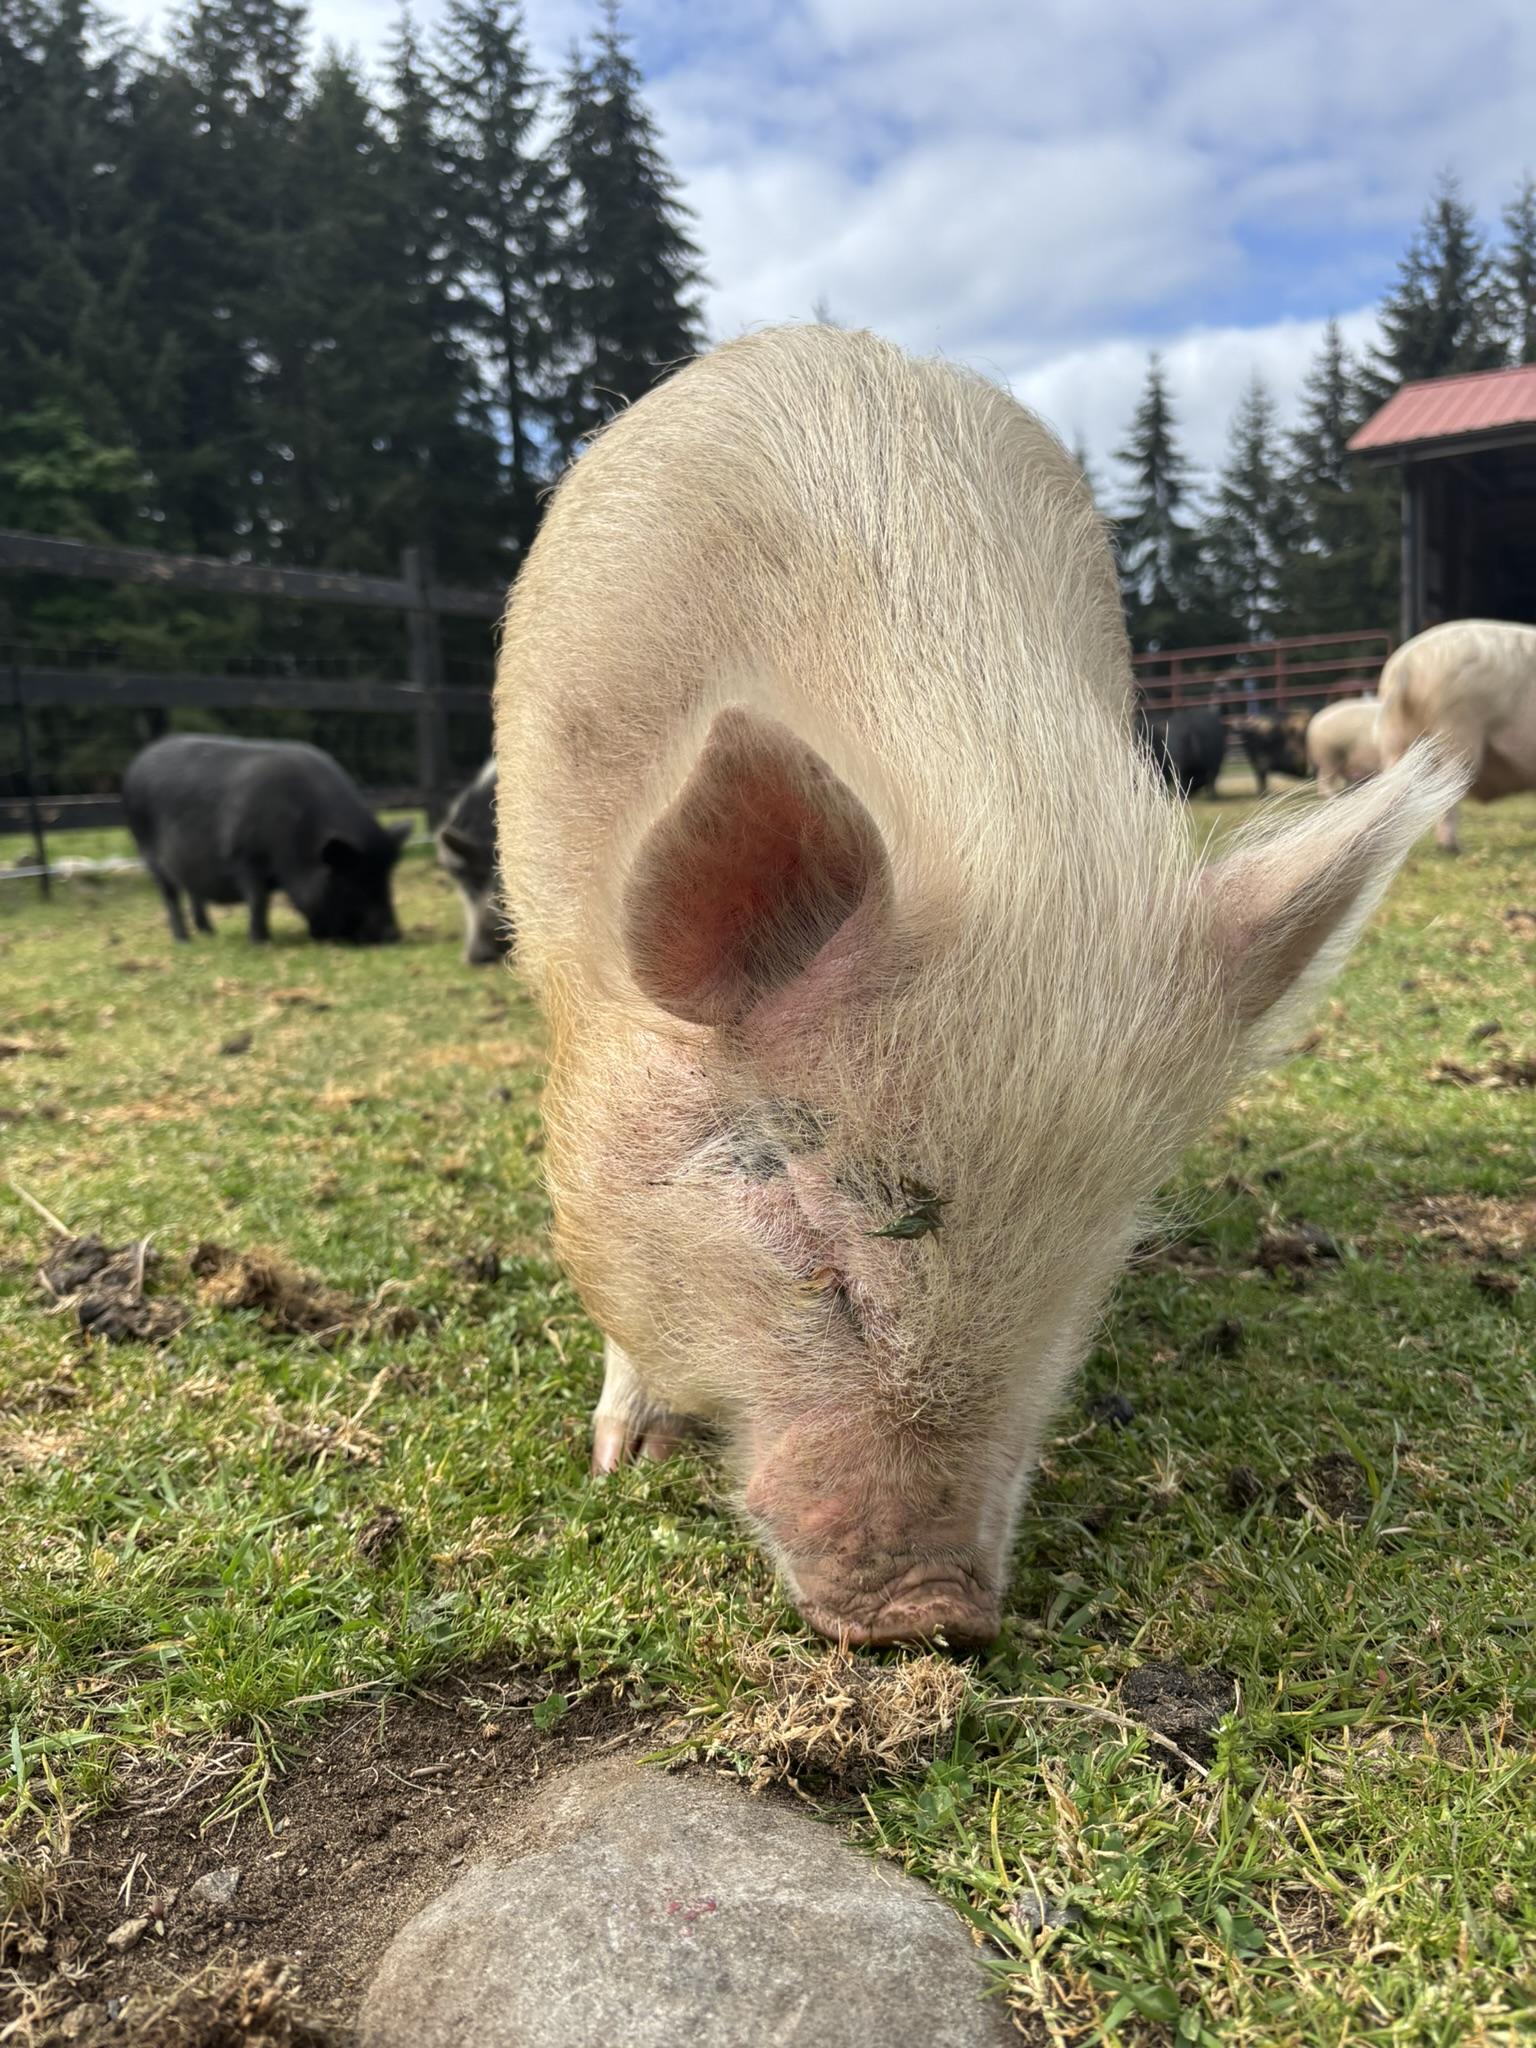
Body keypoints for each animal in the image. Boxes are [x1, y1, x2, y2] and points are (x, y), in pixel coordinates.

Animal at [122, 734, 408, 945]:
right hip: (147, 851)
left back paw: (209, 933)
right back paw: (183, 940)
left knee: (194, 892)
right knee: (170, 895)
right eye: (353, 884)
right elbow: (259, 900)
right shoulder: (245, 858)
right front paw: (261, 942)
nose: (393, 935)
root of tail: (135, 765)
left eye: (387, 881)